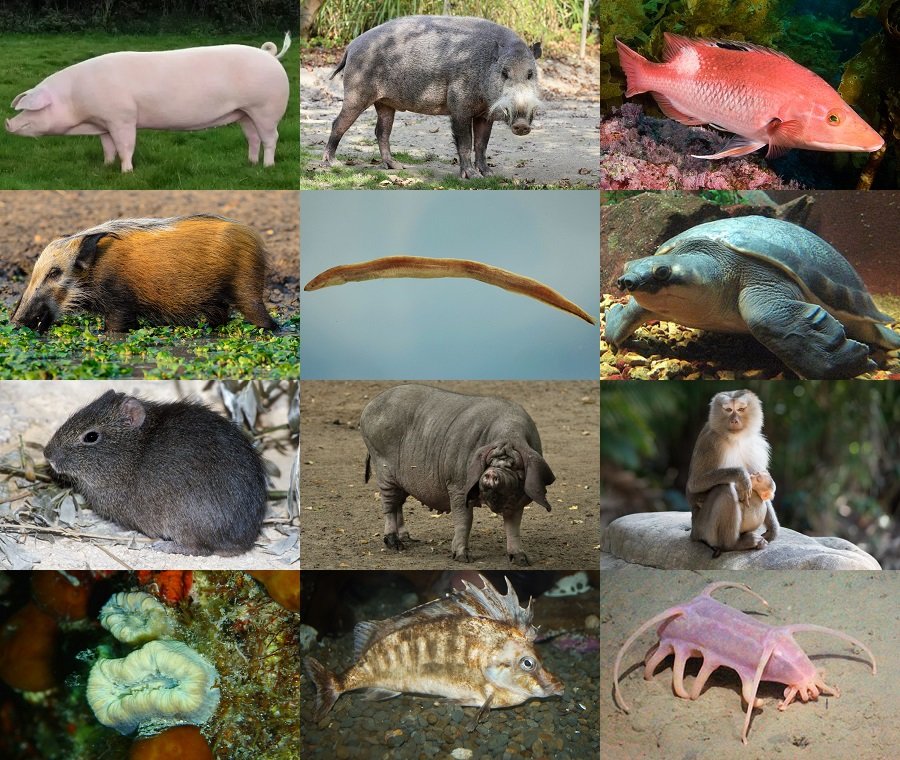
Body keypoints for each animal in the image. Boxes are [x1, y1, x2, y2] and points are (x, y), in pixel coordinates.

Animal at [6, 33, 291, 172]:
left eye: (31, 108)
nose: (8, 123)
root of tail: (270, 56)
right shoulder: (104, 123)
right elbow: (107, 147)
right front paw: (105, 166)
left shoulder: (122, 117)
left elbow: (125, 146)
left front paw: (126, 172)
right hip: (244, 113)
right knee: (252, 138)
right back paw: (251, 164)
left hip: (265, 109)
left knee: (271, 138)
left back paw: (268, 166)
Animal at [323, 15, 542, 179]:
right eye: (505, 73)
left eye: (530, 74)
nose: (522, 124)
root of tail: (351, 47)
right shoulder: (459, 106)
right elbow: (465, 142)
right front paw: (473, 177)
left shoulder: (485, 113)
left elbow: (481, 144)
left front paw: (489, 175)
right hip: (356, 93)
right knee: (338, 123)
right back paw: (334, 164)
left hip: (384, 102)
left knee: (381, 131)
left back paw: (396, 166)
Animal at [360, 384, 556, 565]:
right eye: (489, 463)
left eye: (516, 469)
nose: (492, 473)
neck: (507, 434)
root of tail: (367, 408)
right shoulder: (457, 485)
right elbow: (465, 520)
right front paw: (463, 558)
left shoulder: (518, 498)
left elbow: (514, 525)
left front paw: (522, 560)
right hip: (383, 466)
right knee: (388, 505)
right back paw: (396, 544)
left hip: (400, 479)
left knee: (398, 503)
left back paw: (407, 538)